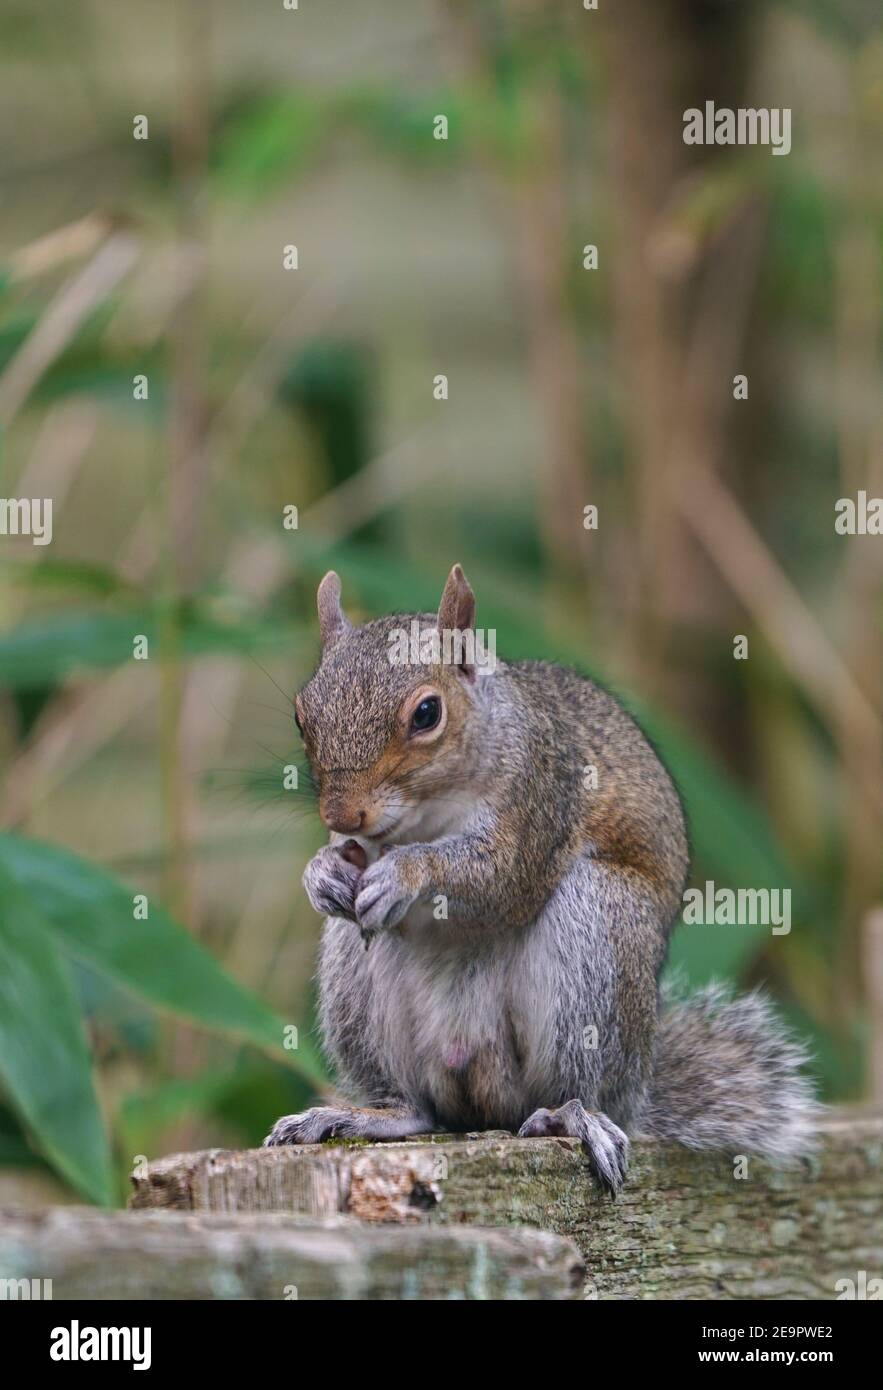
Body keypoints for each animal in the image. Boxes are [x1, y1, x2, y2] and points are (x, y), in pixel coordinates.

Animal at [264, 565, 816, 1192]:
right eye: (302, 714)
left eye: (427, 713)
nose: (342, 815)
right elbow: (348, 863)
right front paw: (322, 872)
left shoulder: (538, 797)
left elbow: (500, 877)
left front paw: (406, 872)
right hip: (357, 990)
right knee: (421, 1108)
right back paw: (366, 1115)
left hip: (595, 934)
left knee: (575, 1088)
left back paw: (572, 1116)